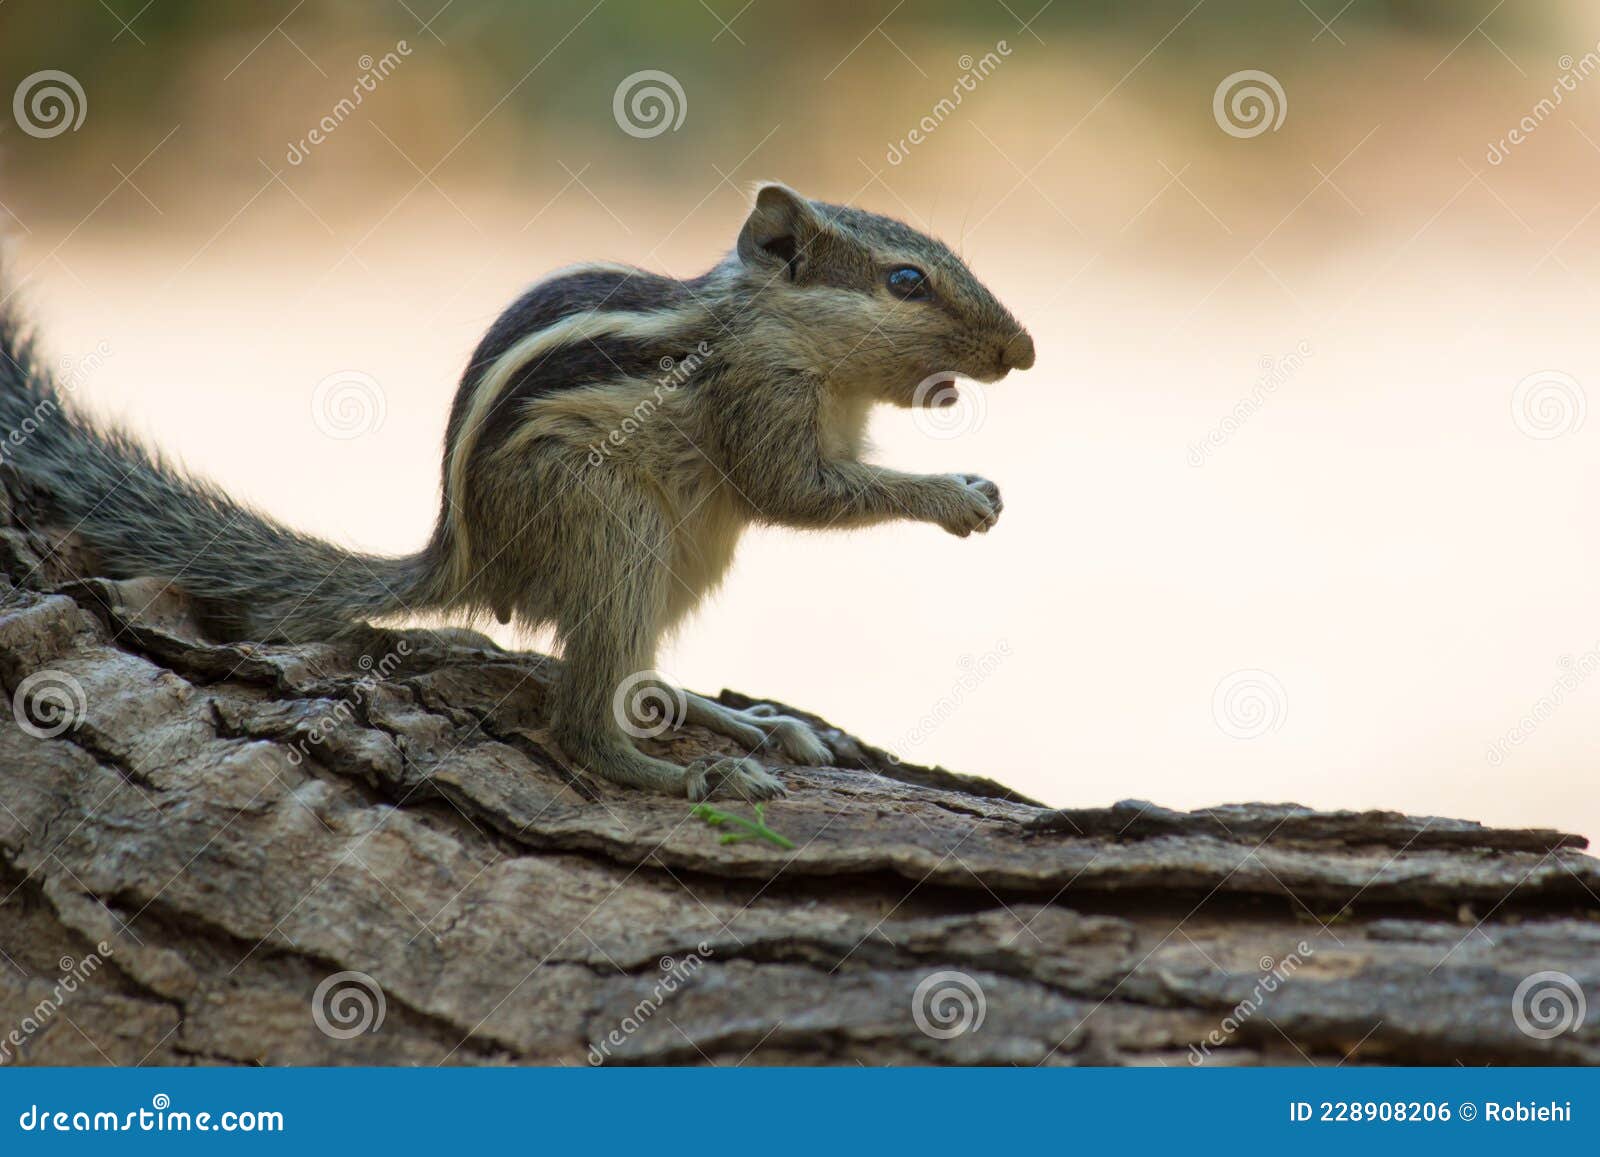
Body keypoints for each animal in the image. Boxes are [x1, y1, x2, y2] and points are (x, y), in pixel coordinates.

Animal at [0, 182, 1035, 801]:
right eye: (906, 281)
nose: (1021, 351)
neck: (766, 323)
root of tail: (464, 552)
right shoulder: (758, 398)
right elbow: (800, 493)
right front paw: (956, 495)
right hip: (613, 524)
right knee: (582, 718)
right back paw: (680, 777)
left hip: (681, 552)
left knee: (630, 673)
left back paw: (733, 717)